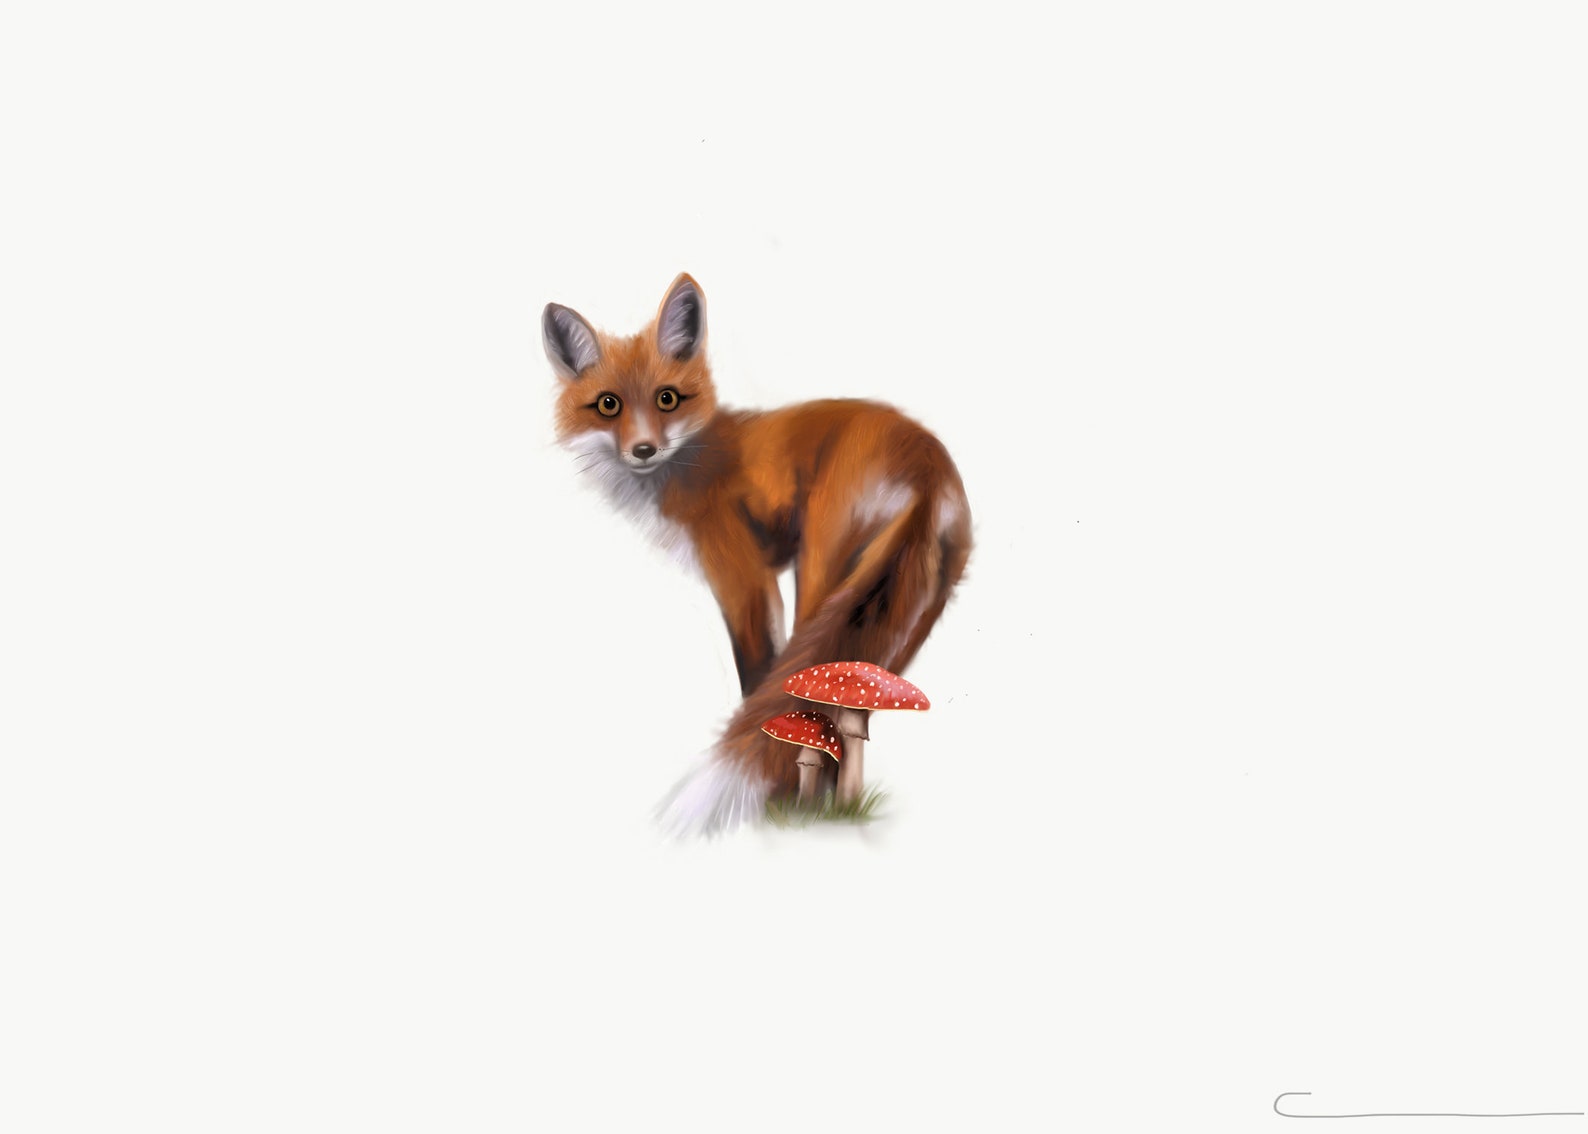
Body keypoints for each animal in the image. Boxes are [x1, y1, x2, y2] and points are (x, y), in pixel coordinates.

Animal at [542, 273, 971, 833]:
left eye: (667, 399)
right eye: (608, 404)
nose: (643, 450)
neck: (688, 461)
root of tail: (926, 456)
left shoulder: (743, 578)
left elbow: (757, 675)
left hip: (822, 573)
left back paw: (802, 804)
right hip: (911, 599)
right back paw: (830, 802)